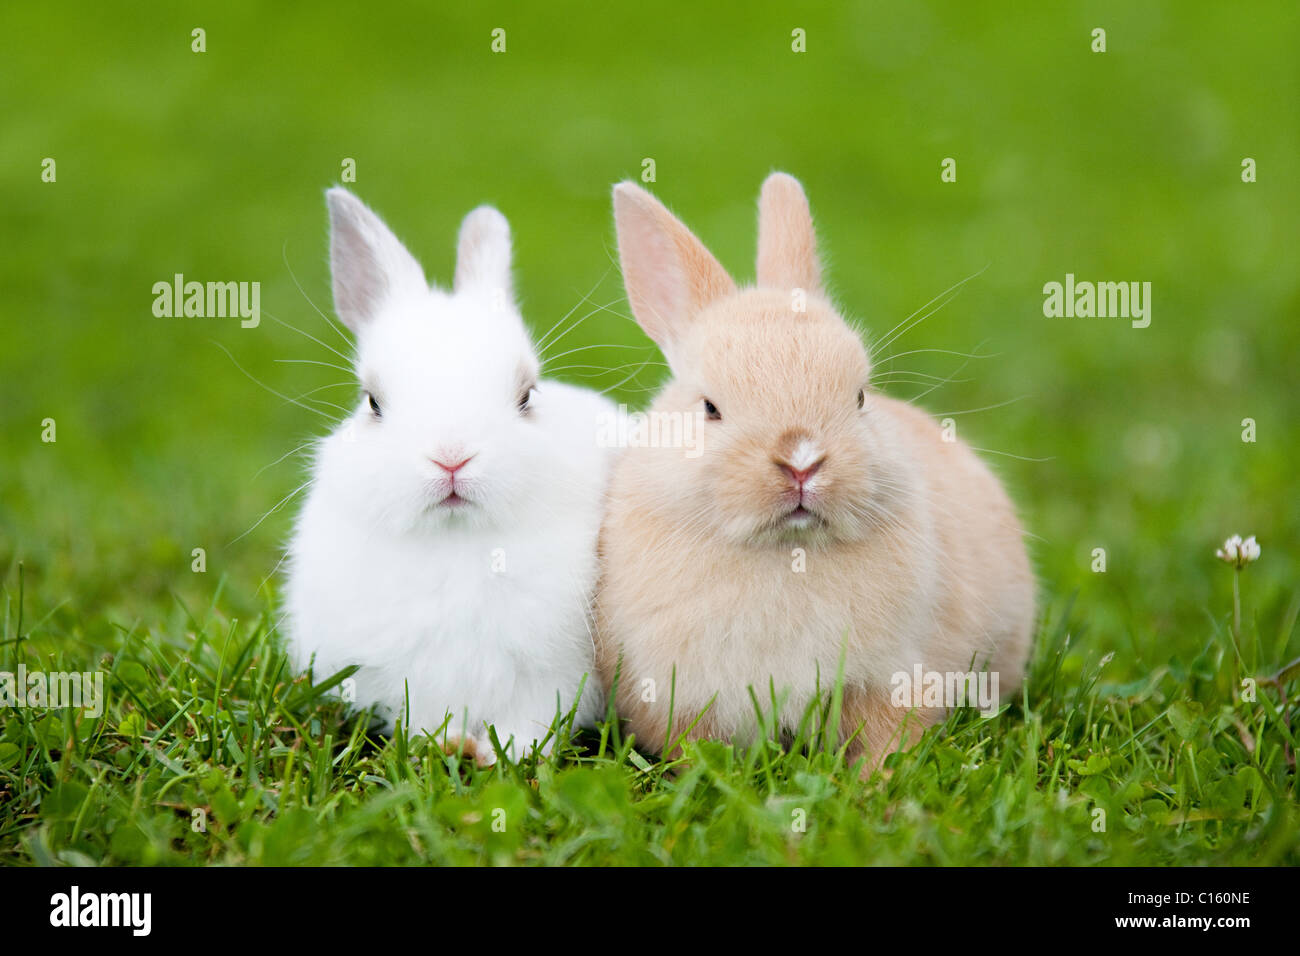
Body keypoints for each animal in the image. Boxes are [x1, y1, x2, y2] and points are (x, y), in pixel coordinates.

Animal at [284, 188, 615, 764]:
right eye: (372, 403)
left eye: (527, 396)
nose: (452, 457)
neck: (458, 541)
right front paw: (442, 745)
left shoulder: (552, 675)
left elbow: (531, 725)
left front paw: (500, 756)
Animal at [593, 173, 1035, 772]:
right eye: (709, 408)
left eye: (860, 397)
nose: (802, 460)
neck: (788, 552)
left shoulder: (893, 680)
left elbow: (887, 739)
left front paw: (877, 784)